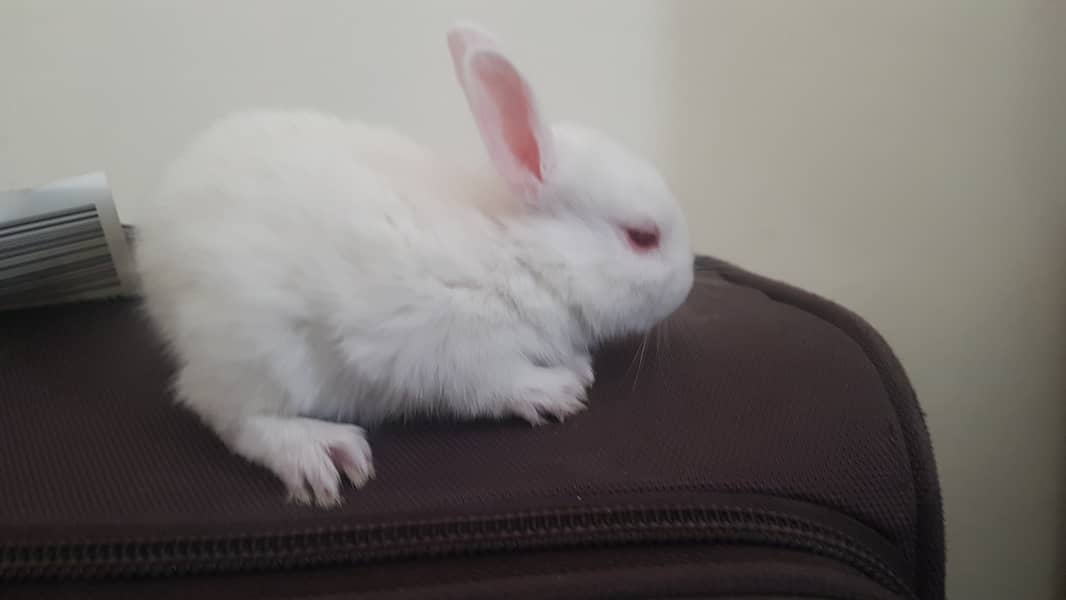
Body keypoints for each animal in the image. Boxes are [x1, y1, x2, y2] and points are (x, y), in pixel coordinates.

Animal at [134, 21, 694, 507]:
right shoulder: (441, 341)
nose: (688, 282)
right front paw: (556, 392)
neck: (521, 254)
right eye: (642, 238)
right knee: (227, 413)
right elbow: (486, 381)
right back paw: (320, 453)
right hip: (255, 350)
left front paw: (575, 368)